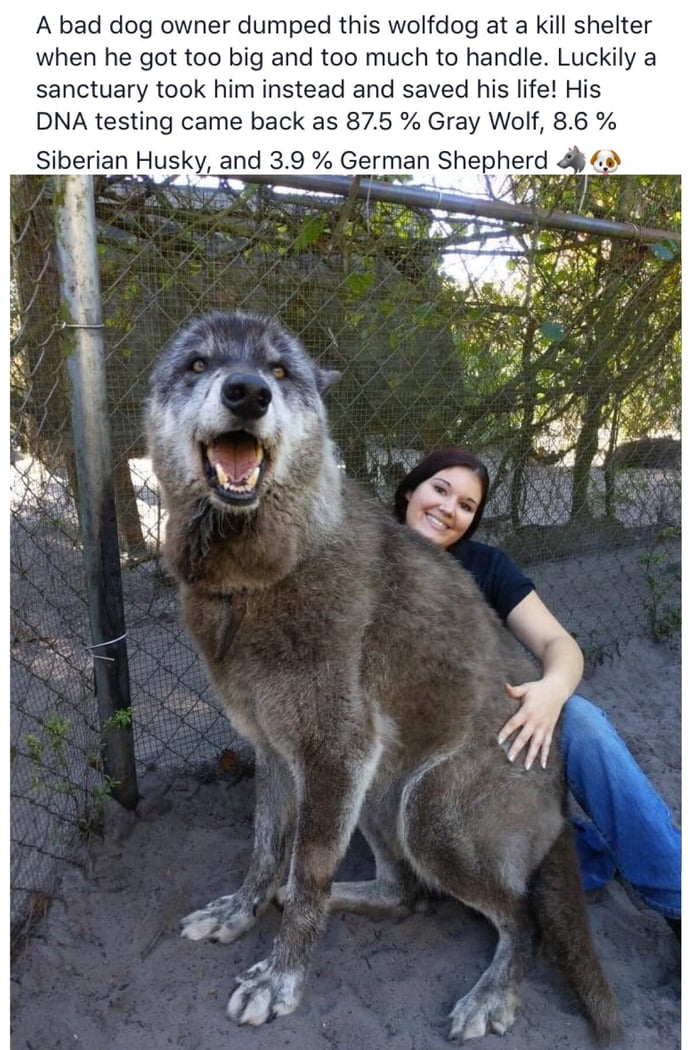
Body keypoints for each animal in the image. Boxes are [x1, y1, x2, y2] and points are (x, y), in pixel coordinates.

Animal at [146, 311, 620, 1042]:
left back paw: (491, 994)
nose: (248, 393)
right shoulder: (277, 753)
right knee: (405, 895)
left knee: (522, 919)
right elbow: (265, 849)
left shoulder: (335, 753)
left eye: (280, 370)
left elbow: (308, 869)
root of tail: (561, 795)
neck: (256, 579)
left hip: (426, 811)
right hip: (376, 793)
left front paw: (280, 980)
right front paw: (241, 911)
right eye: (198, 363)